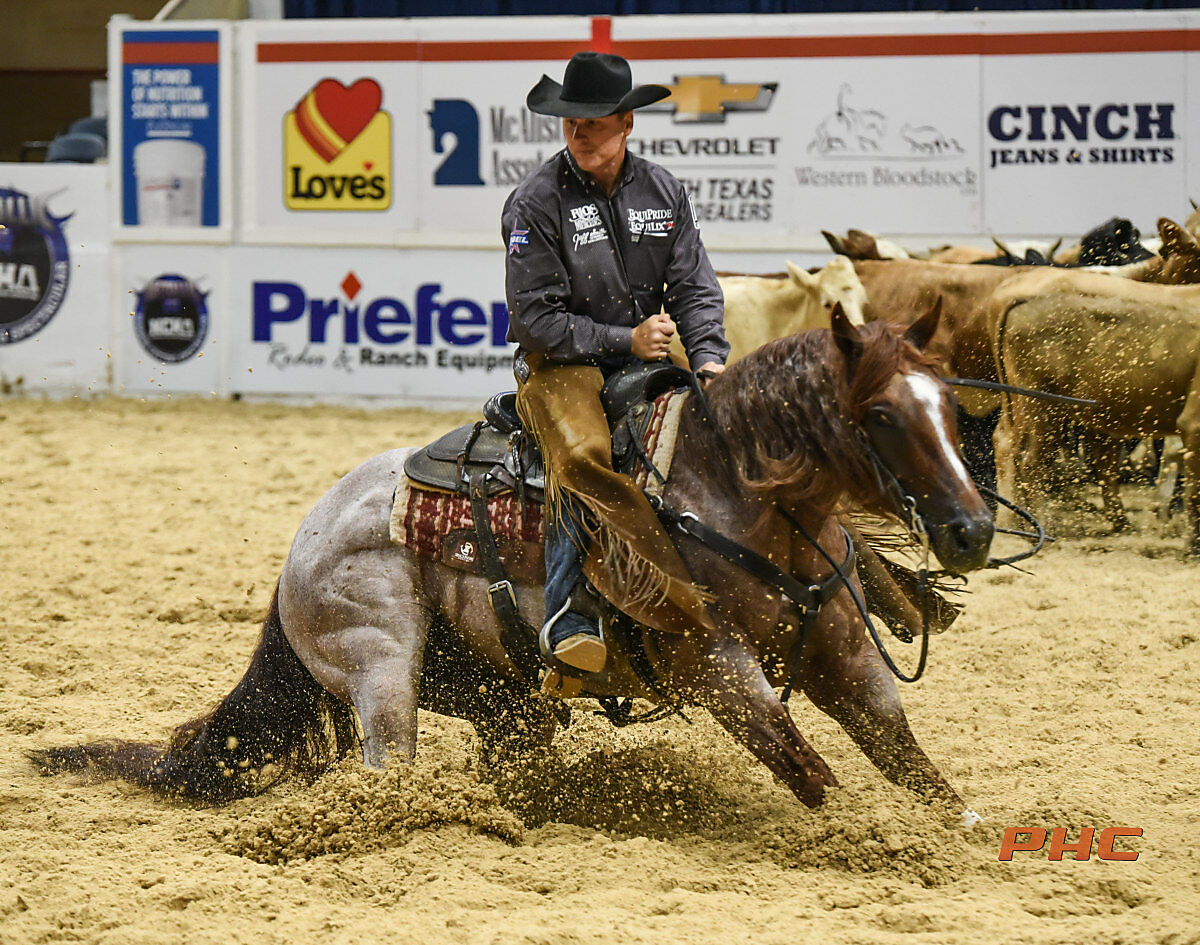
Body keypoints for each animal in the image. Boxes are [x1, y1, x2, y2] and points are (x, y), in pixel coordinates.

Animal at [30, 306, 994, 823]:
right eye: (878, 415)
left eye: (952, 405)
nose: (972, 530)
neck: (732, 498)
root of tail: (297, 549)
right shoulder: (714, 667)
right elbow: (812, 772)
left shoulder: (841, 649)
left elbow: (911, 763)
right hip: (383, 668)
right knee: (388, 767)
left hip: (506, 700)